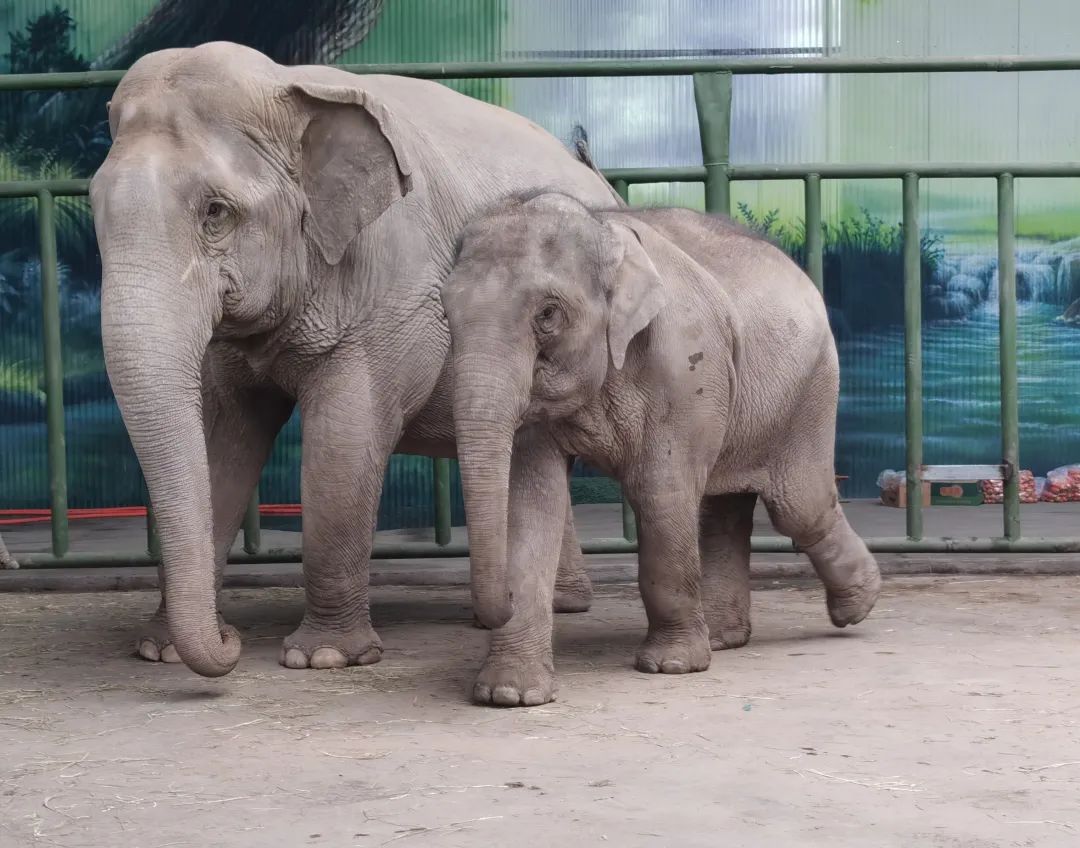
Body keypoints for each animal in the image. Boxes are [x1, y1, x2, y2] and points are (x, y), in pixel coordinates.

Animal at [89, 41, 620, 678]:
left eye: (215, 211)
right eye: (94, 210)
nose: (231, 643)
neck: (290, 85)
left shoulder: (394, 286)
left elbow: (345, 435)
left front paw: (323, 657)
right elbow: (223, 438)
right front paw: (161, 650)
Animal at [442, 191, 882, 706]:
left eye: (548, 314)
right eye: (446, 312)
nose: (495, 607)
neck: (605, 232)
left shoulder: (684, 365)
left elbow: (659, 492)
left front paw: (671, 667)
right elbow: (531, 502)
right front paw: (509, 695)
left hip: (809, 391)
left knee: (800, 508)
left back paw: (857, 607)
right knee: (724, 508)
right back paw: (724, 637)